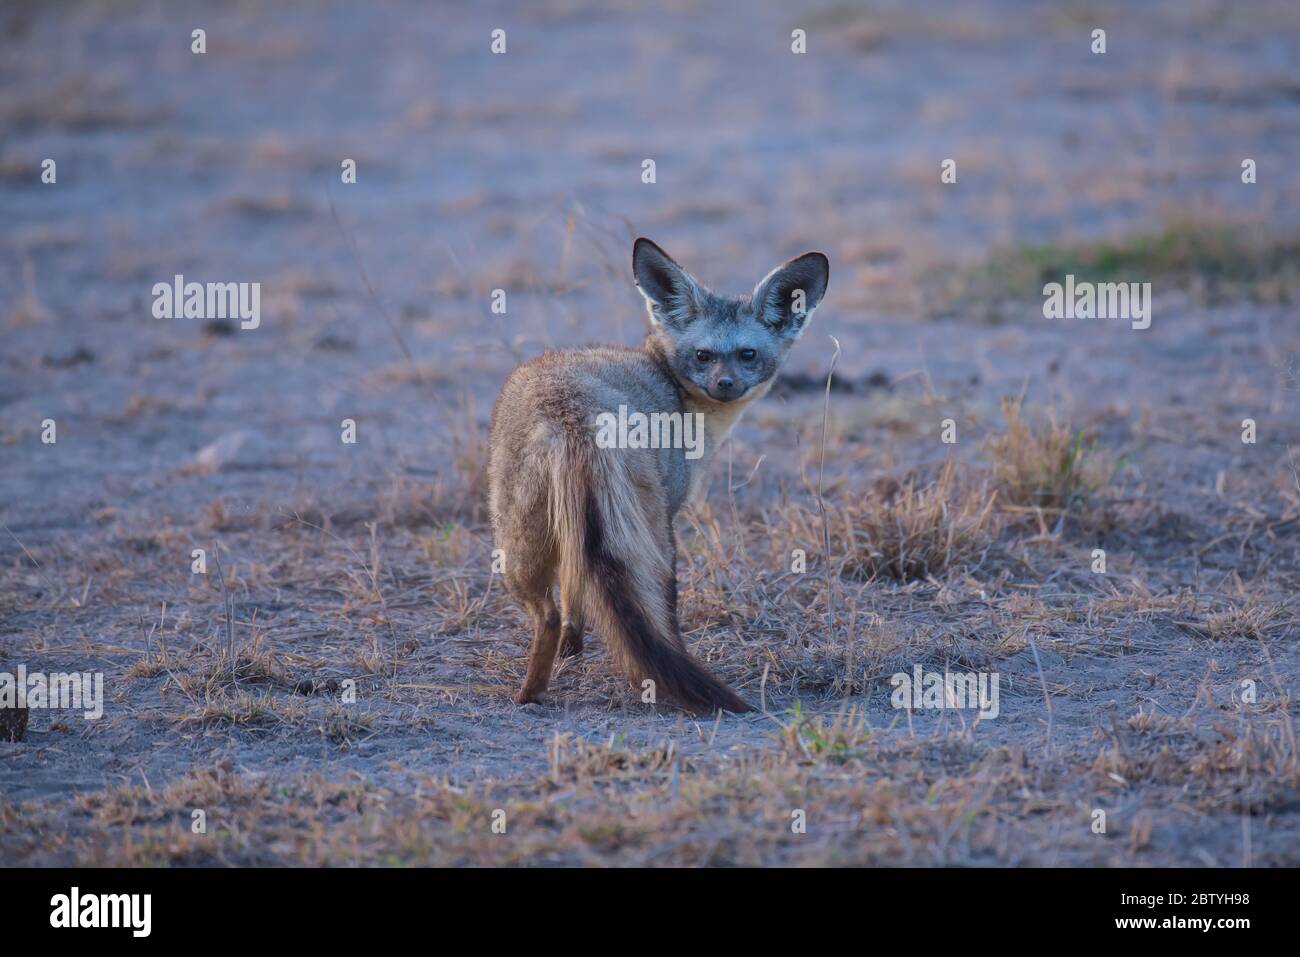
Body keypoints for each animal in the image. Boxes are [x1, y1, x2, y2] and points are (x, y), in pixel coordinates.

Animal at [487, 237, 829, 714]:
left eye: (748, 354)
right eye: (703, 355)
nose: (725, 384)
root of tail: (569, 412)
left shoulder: (571, 534)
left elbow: (575, 592)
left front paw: (574, 648)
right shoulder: (670, 508)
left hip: (521, 543)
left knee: (551, 613)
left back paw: (535, 689)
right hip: (646, 534)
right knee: (652, 610)